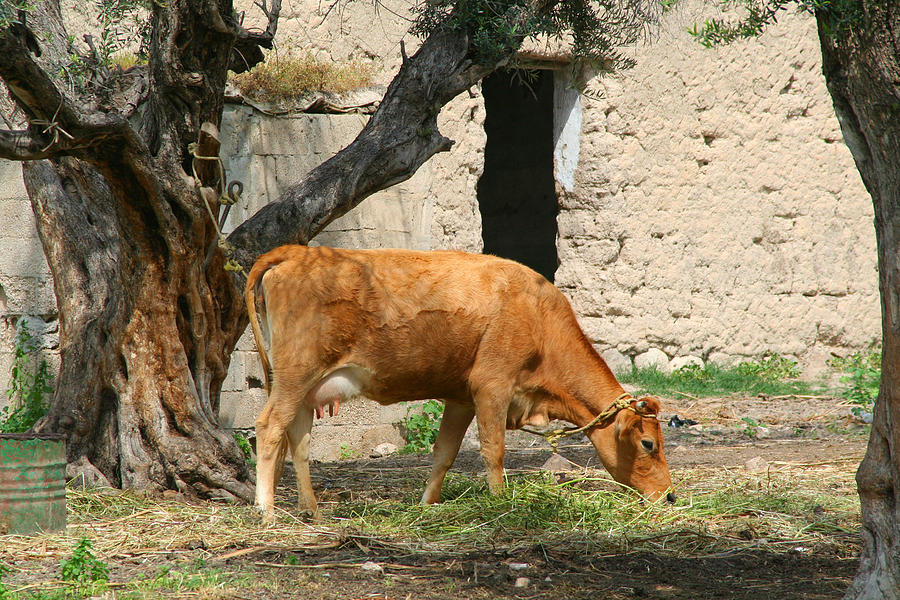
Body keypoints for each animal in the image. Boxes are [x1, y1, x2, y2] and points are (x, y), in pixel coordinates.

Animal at [245, 245, 674, 520]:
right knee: (269, 427)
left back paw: (311, 509)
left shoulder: (462, 397)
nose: (669, 496)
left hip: (307, 386)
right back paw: (266, 510)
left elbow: (445, 453)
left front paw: (427, 504)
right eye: (648, 444)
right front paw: (501, 504)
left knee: (298, 440)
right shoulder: (491, 386)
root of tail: (298, 251)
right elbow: (493, 451)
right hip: (295, 373)